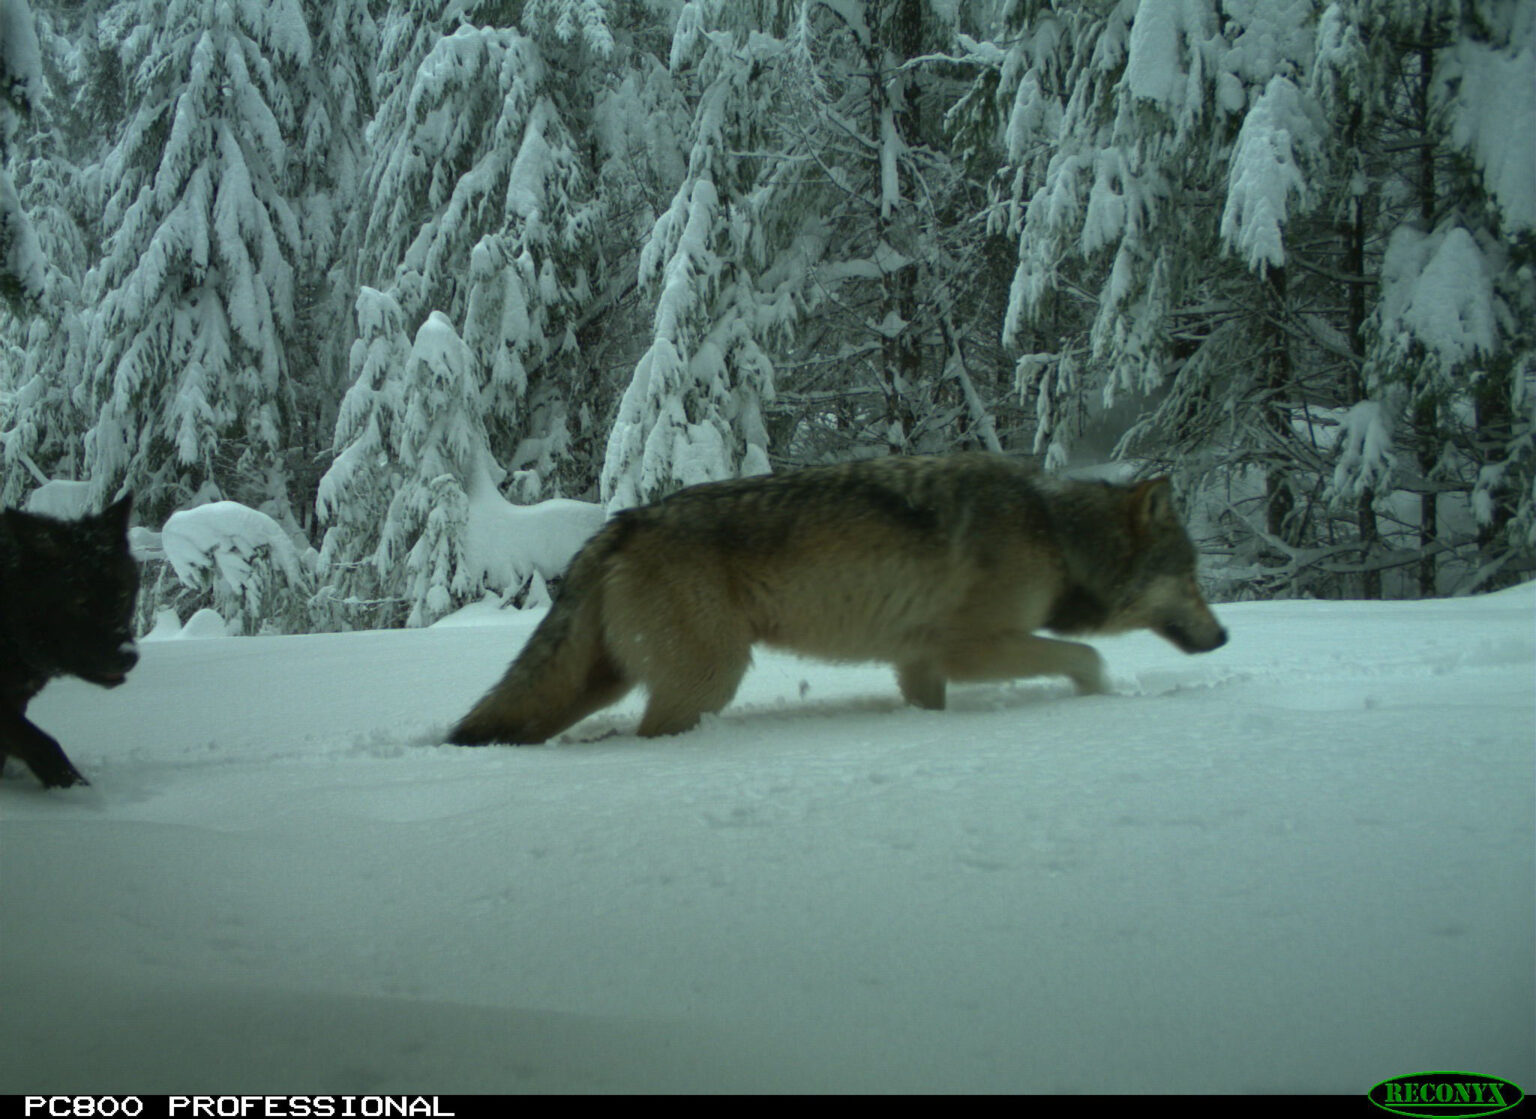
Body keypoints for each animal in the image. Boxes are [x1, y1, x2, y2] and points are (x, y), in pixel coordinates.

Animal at [449, 453, 1227, 746]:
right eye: (1194, 578)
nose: (1223, 637)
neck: (1059, 535)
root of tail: (622, 522)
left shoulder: (921, 663)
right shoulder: (971, 648)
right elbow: (1089, 656)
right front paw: (1103, 700)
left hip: (604, 680)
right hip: (707, 679)